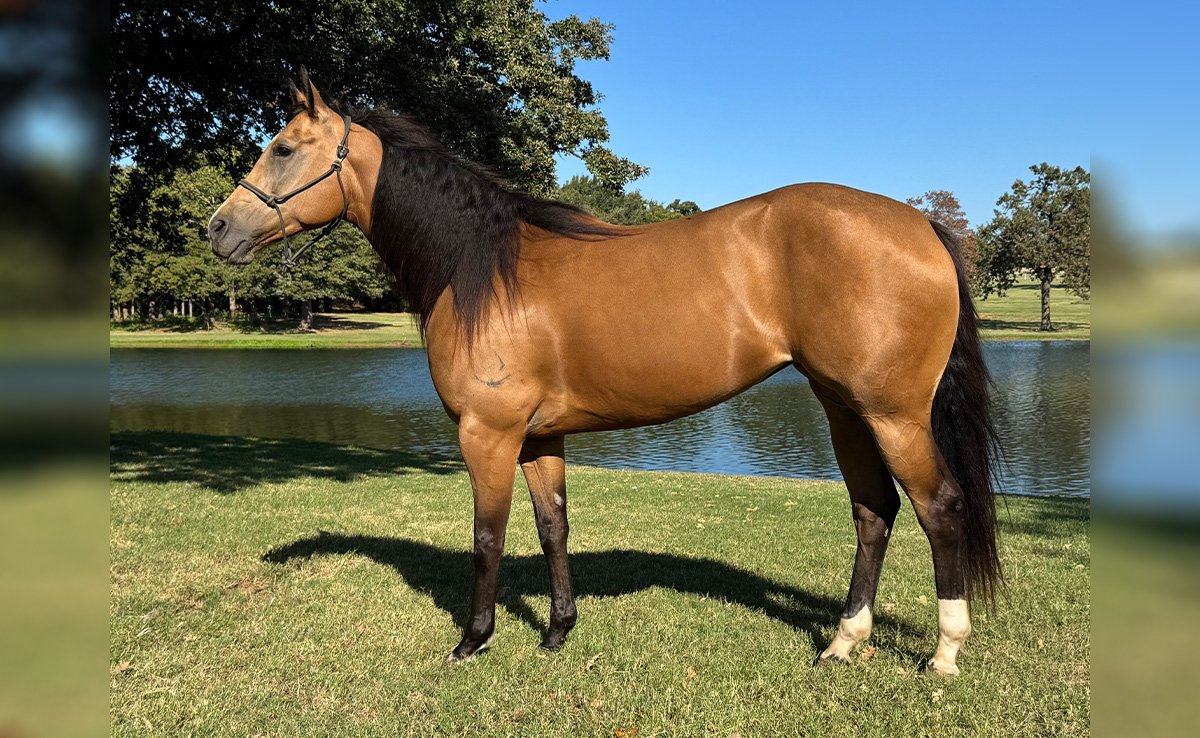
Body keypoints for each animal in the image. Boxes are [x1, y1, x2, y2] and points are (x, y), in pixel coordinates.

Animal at [207, 71, 1000, 676]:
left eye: (283, 147)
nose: (218, 228)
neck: (479, 267)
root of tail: (920, 224)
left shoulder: (487, 436)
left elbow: (487, 537)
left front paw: (474, 640)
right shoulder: (538, 438)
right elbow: (553, 527)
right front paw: (558, 630)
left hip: (894, 414)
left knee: (939, 507)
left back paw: (944, 654)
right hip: (843, 408)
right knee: (874, 511)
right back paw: (842, 642)